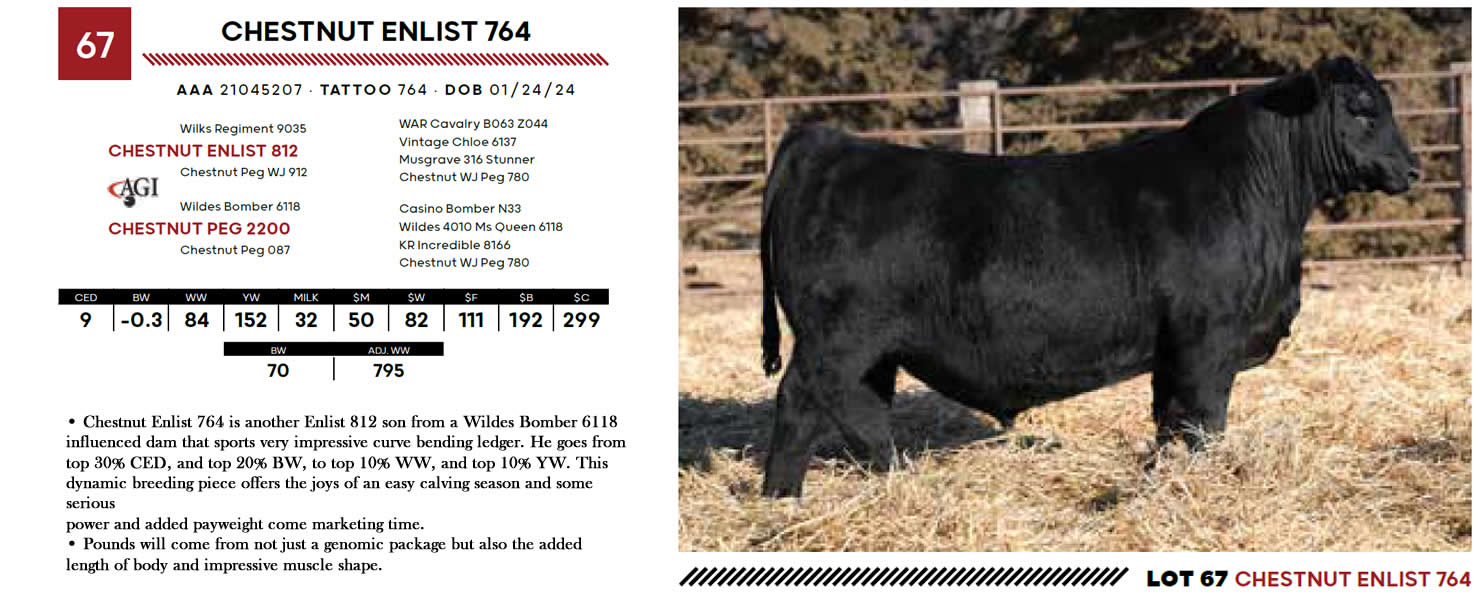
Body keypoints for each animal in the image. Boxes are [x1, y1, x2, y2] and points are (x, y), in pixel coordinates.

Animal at [757, 57, 1421, 497]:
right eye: (1362, 110)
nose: (1412, 167)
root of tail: (827, 141)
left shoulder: (1175, 345)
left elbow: (1170, 417)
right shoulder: (1208, 336)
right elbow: (1204, 416)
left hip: (873, 347)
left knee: (862, 407)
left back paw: (894, 479)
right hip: (838, 337)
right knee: (801, 399)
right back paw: (783, 497)